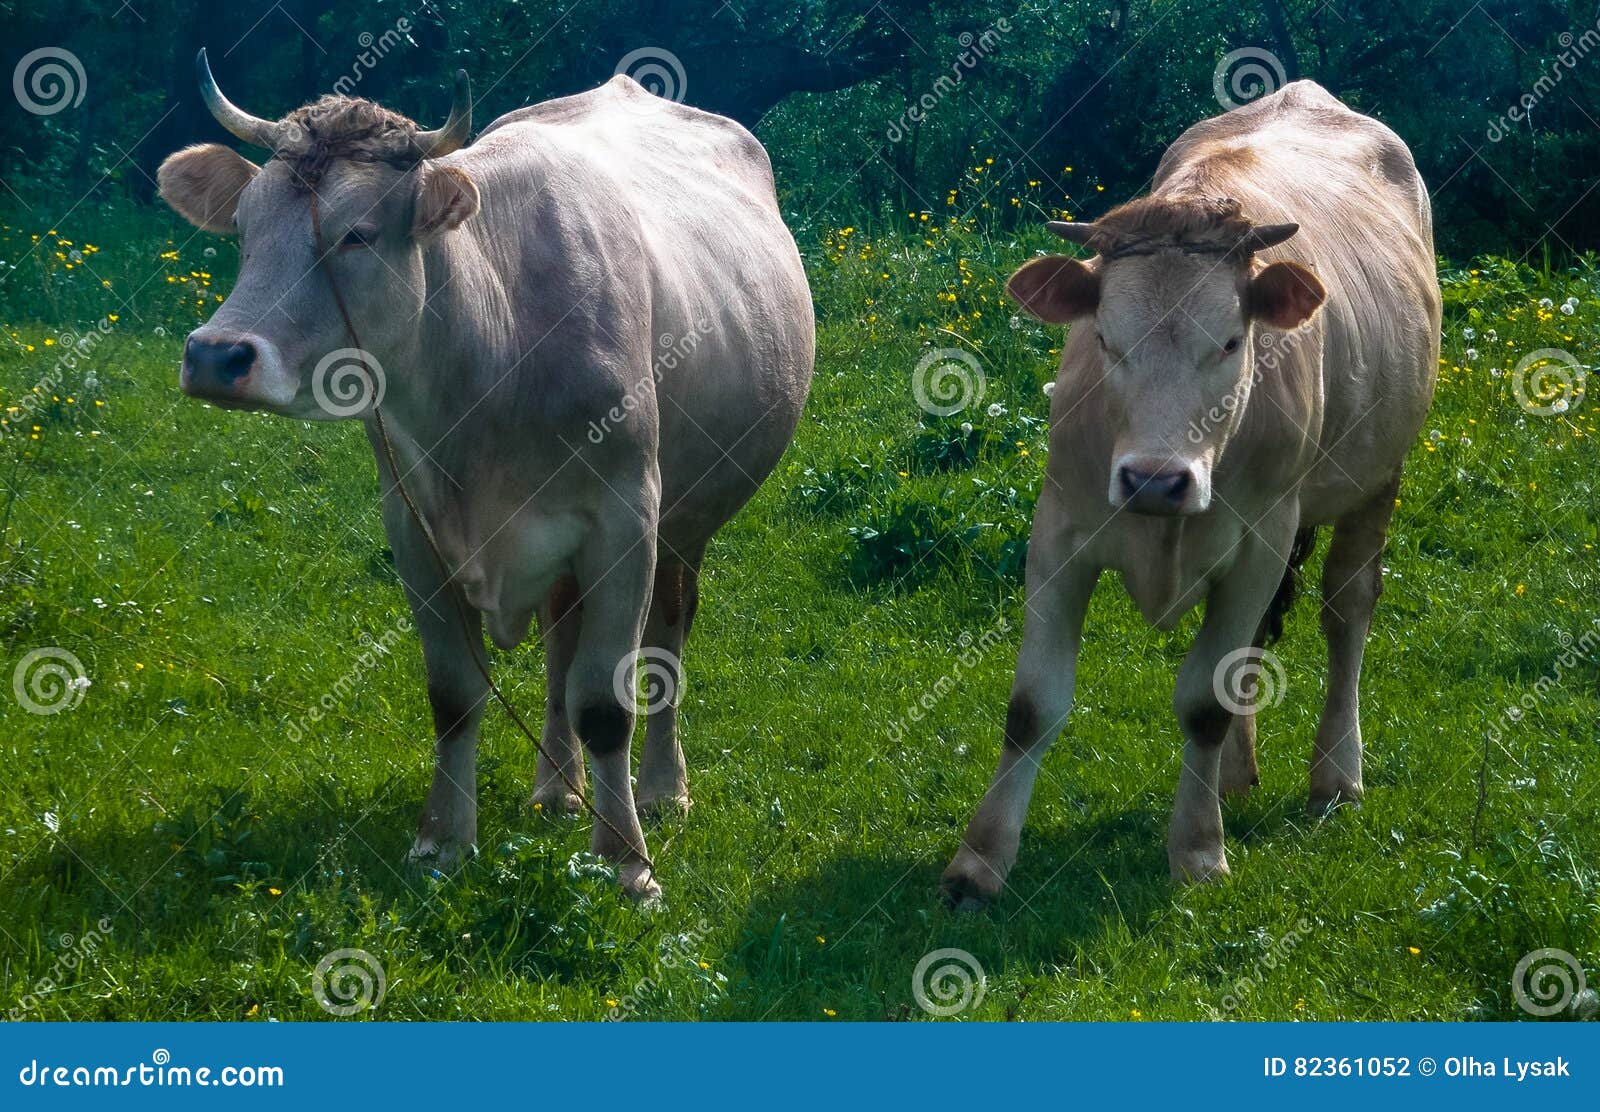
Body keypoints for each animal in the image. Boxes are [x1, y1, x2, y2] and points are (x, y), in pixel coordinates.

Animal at [157, 51, 815, 902]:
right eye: (241, 230)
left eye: (356, 235)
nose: (215, 355)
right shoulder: (412, 527)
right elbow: (456, 696)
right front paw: (443, 843)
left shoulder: (625, 521)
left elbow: (607, 701)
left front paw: (626, 864)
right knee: (560, 646)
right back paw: (555, 789)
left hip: (689, 520)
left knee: (666, 639)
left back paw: (663, 790)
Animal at [941, 81, 1440, 907]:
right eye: (1105, 340)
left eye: (1232, 343)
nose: (1154, 478)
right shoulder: (1060, 532)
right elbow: (1032, 705)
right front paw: (979, 864)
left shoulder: (1262, 539)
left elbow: (1204, 702)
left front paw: (1200, 852)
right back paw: (1236, 774)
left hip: (1380, 473)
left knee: (1347, 608)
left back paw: (1336, 774)